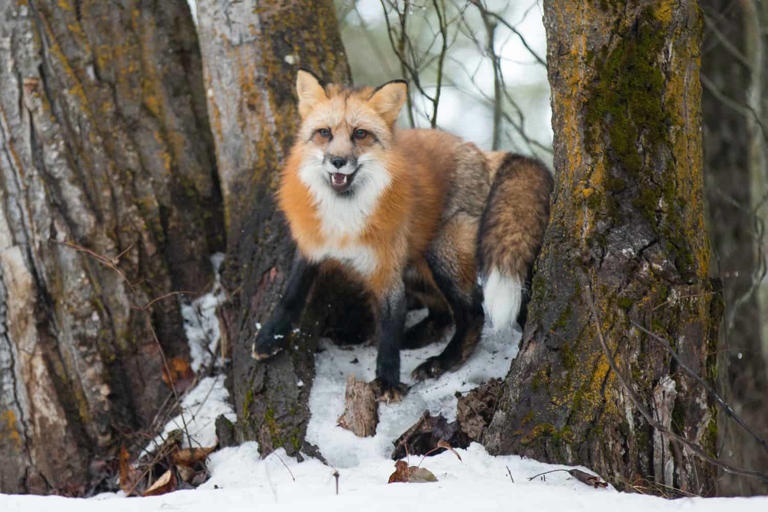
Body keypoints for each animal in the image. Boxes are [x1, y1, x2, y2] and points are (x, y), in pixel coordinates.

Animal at [252, 69, 553, 401]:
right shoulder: (313, 247)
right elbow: (291, 295)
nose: (338, 161)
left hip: (440, 251)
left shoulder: (387, 268)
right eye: (324, 133)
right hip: (416, 265)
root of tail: (481, 153)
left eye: (360, 134)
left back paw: (442, 360)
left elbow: (389, 330)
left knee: (472, 313)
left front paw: (386, 381)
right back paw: (418, 338)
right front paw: (271, 336)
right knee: (442, 313)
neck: (344, 216)